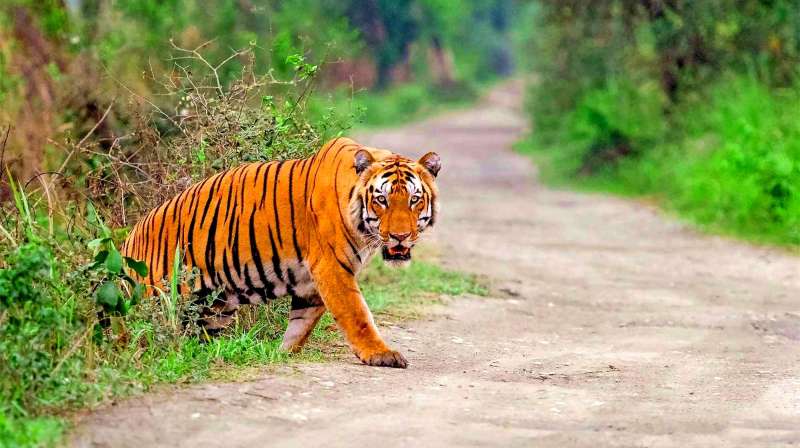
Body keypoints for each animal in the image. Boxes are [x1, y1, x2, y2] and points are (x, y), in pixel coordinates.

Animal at [120, 137, 441, 368]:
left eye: (414, 200)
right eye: (381, 200)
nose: (400, 236)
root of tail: (128, 240)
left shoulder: (311, 284)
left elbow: (300, 326)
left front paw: (281, 354)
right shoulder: (332, 268)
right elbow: (357, 315)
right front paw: (380, 354)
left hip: (214, 308)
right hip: (153, 301)